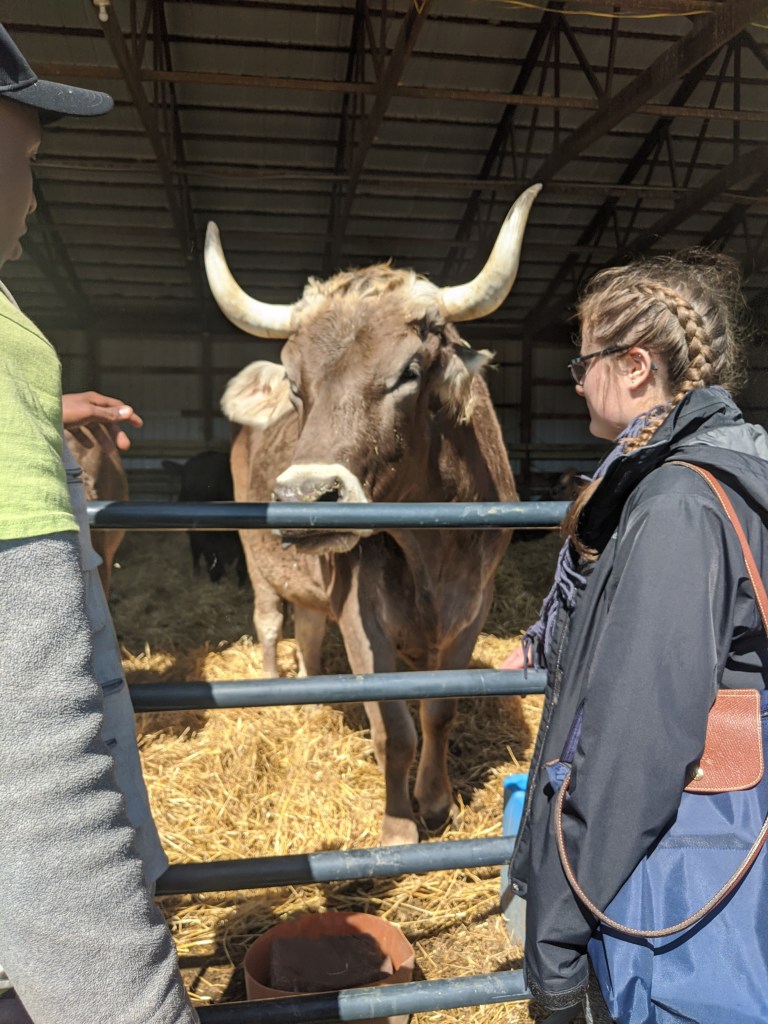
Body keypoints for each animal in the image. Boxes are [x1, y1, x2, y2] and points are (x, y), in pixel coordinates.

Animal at [206, 183, 541, 845]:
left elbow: (438, 712)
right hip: (257, 559)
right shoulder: (362, 617)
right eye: (295, 384)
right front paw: (398, 829)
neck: (429, 549)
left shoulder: (474, 608)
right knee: (270, 623)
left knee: (309, 630)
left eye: (409, 372)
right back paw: (274, 690)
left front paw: (435, 803)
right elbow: (395, 730)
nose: (305, 497)